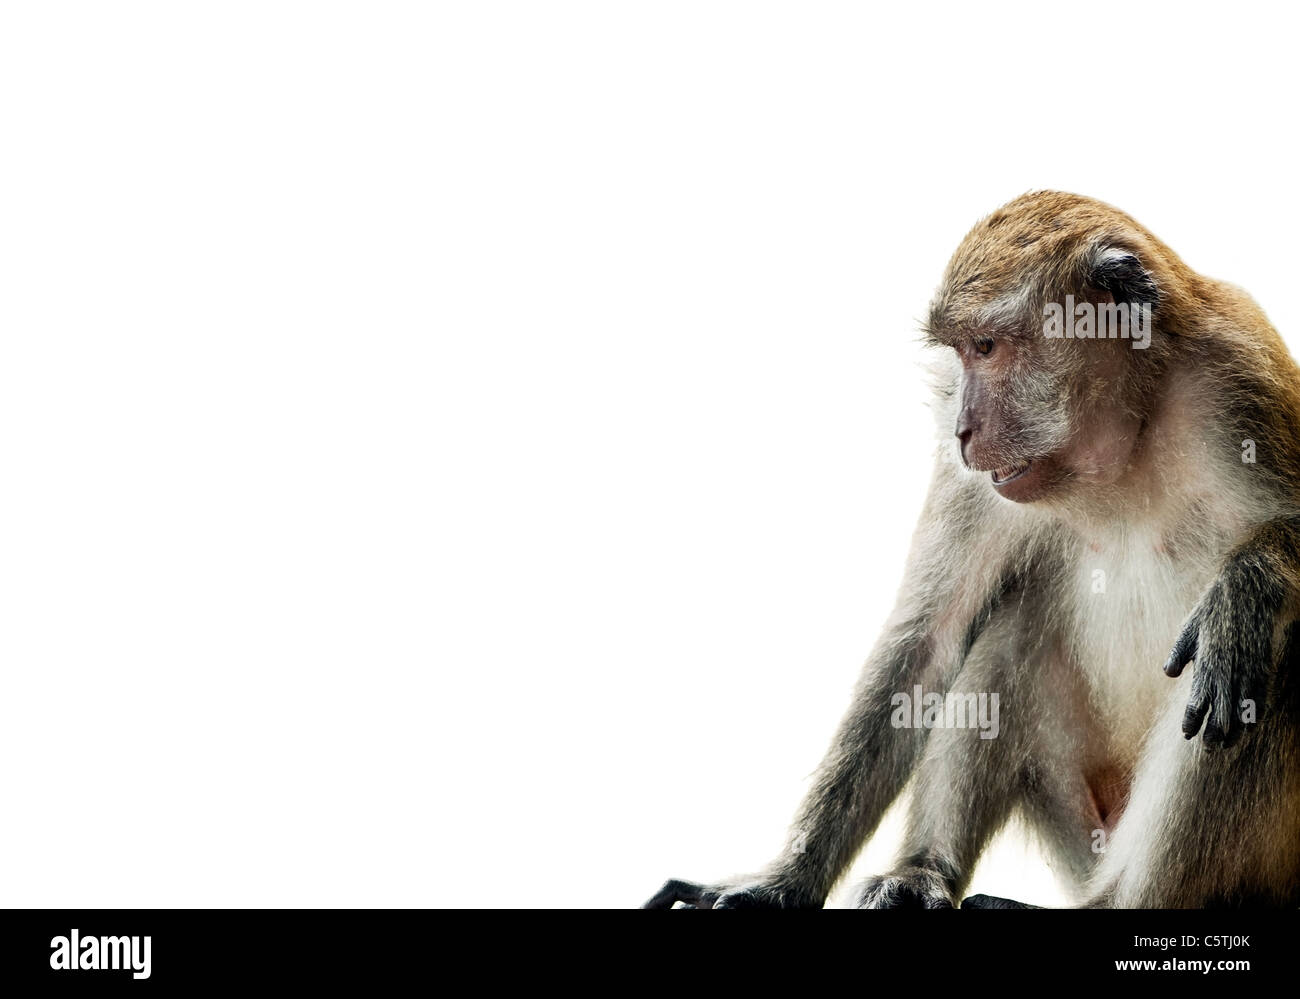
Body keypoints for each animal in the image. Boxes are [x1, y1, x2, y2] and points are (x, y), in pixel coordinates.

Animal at [644, 191, 1300, 910]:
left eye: (986, 347)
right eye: (960, 355)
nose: (960, 429)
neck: (1124, 441)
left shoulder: (1240, 380)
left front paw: (1251, 579)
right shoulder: (977, 484)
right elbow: (928, 639)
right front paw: (785, 880)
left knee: (1258, 656)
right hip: (1082, 826)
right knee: (1014, 629)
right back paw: (922, 870)